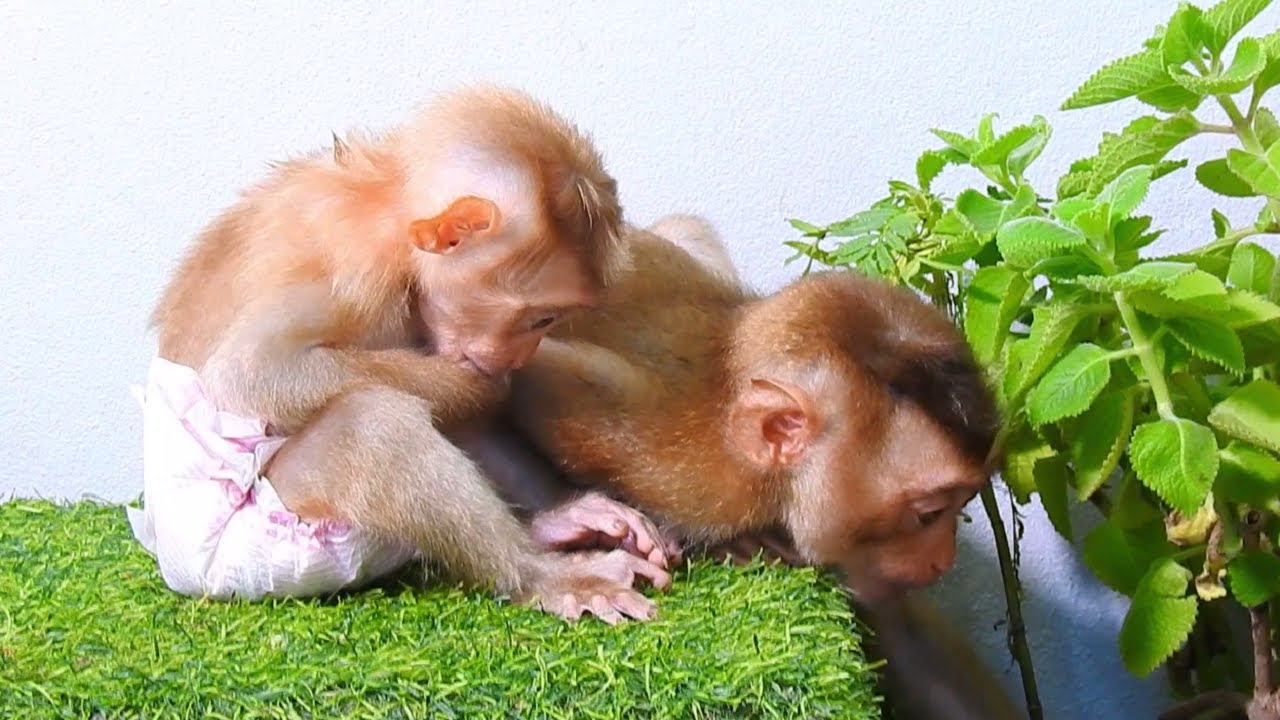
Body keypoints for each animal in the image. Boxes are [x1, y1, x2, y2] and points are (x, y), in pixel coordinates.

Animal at [129, 86, 677, 624]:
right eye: (542, 320)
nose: (518, 359)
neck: (391, 216)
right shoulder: (355, 270)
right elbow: (251, 372)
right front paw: (481, 387)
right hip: (264, 546)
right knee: (372, 423)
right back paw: (538, 573)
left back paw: (551, 527)